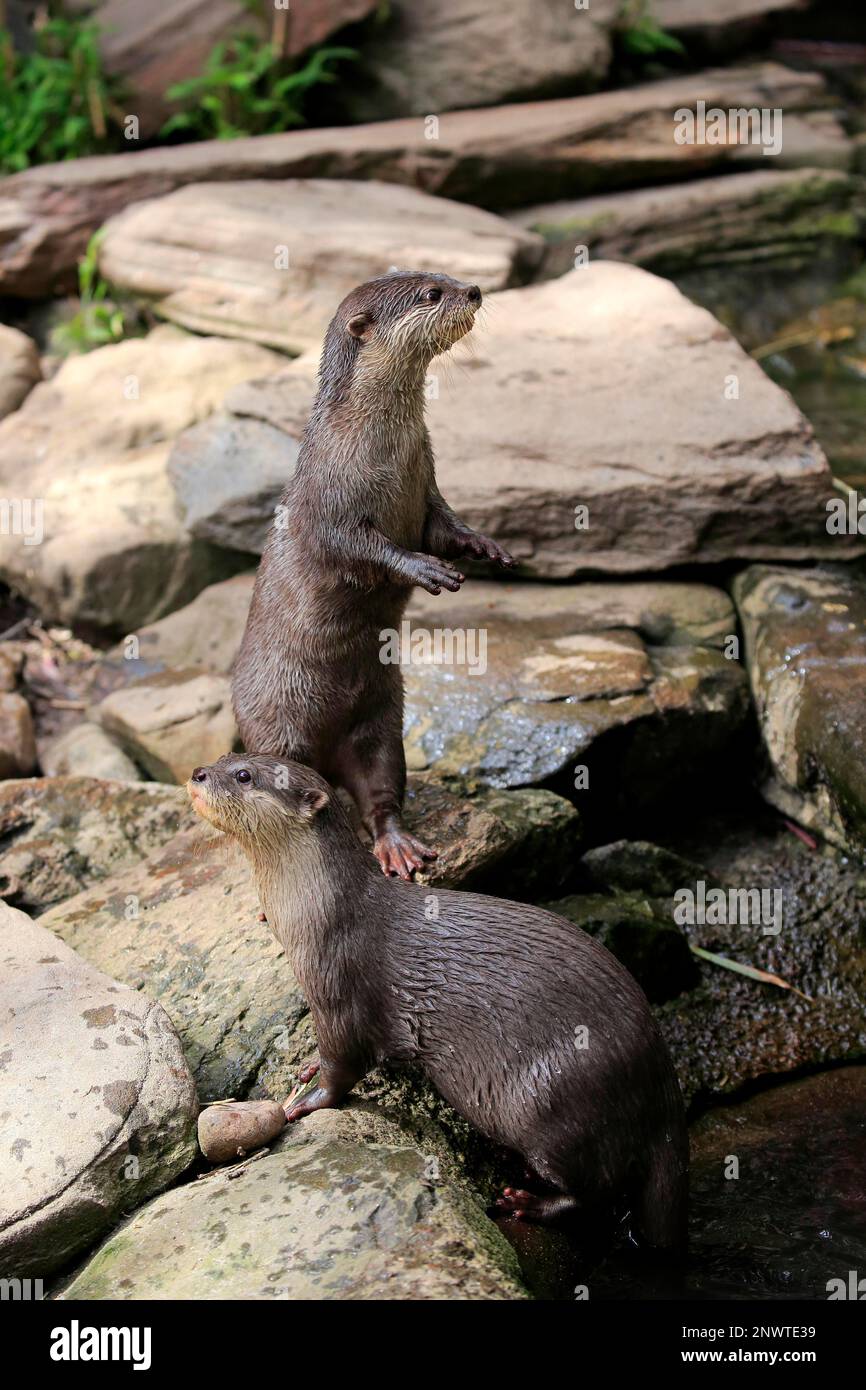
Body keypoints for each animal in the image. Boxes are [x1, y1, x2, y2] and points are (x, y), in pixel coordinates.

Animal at [188, 754, 689, 1245]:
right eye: (230, 755)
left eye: (244, 775)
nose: (197, 773)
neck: (319, 914)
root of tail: (662, 1084)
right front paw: (307, 1065)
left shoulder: (339, 988)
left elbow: (342, 1068)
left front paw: (304, 1102)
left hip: (549, 1098)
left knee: (597, 1191)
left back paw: (527, 1202)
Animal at [232, 270, 514, 881]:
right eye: (431, 294)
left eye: (444, 276)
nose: (475, 290)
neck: (382, 445)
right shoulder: (329, 499)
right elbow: (361, 548)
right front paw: (424, 568)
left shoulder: (427, 484)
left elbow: (443, 525)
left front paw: (483, 544)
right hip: (275, 726)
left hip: (382, 721)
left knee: (380, 788)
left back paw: (397, 846)